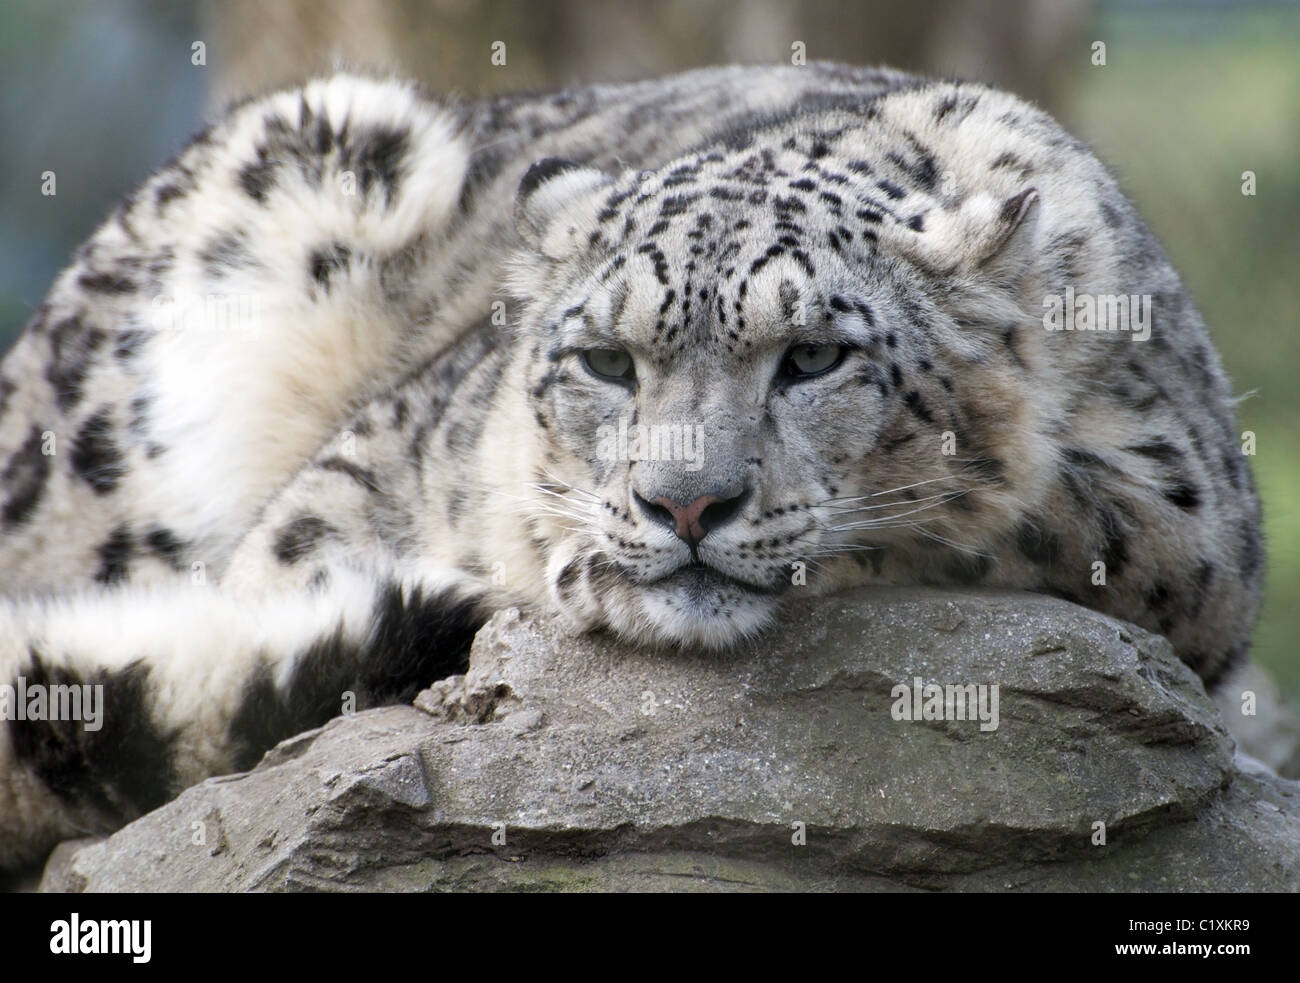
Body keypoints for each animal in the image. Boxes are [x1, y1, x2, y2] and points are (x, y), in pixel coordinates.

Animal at [0, 63, 1263, 869]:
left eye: (814, 355)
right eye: (605, 360)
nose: (684, 502)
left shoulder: (1188, 525)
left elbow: (1026, 515)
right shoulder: (359, 472)